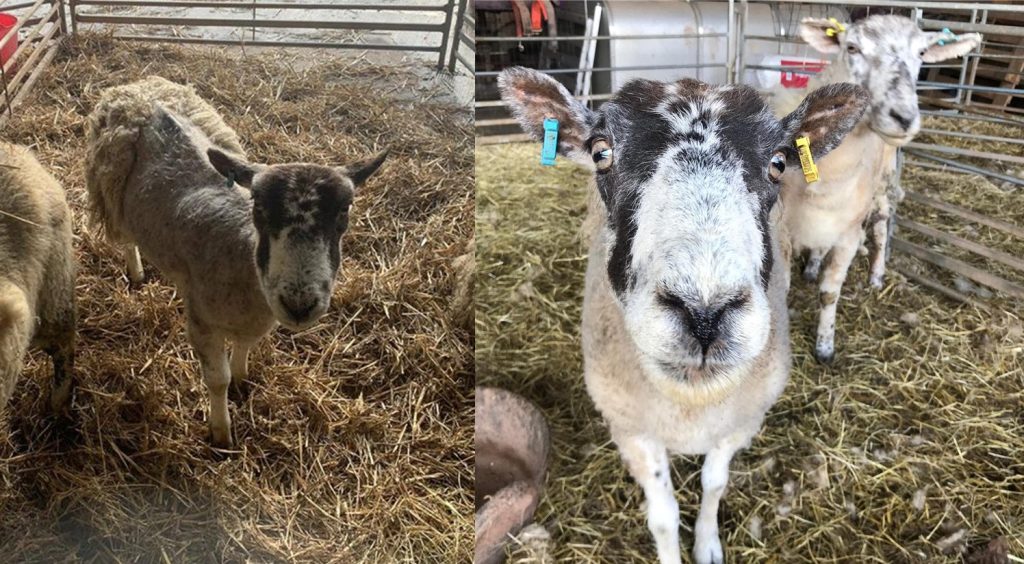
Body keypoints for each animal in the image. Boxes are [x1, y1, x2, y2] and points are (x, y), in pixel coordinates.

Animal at [85, 76, 388, 448]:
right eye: (258, 206)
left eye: (344, 210)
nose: (299, 304)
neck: (240, 253)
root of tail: (138, 87)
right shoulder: (201, 320)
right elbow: (218, 380)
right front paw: (221, 434)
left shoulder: (255, 316)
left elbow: (245, 345)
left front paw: (243, 379)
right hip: (110, 188)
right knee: (126, 237)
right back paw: (137, 272)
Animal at [500, 67, 868, 563]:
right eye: (601, 153)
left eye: (778, 162)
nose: (705, 315)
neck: (691, 404)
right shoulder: (632, 428)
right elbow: (663, 516)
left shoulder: (740, 420)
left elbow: (714, 484)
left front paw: (708, 543)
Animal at [771, 15, 981, 363]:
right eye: (852, 48)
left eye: (922, 53)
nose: (904, 118)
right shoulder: (784, 232)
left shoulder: (848, 234)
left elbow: (829, 294)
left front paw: (825, 346)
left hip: (882, 187)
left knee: (881, 230)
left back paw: (876, 275)